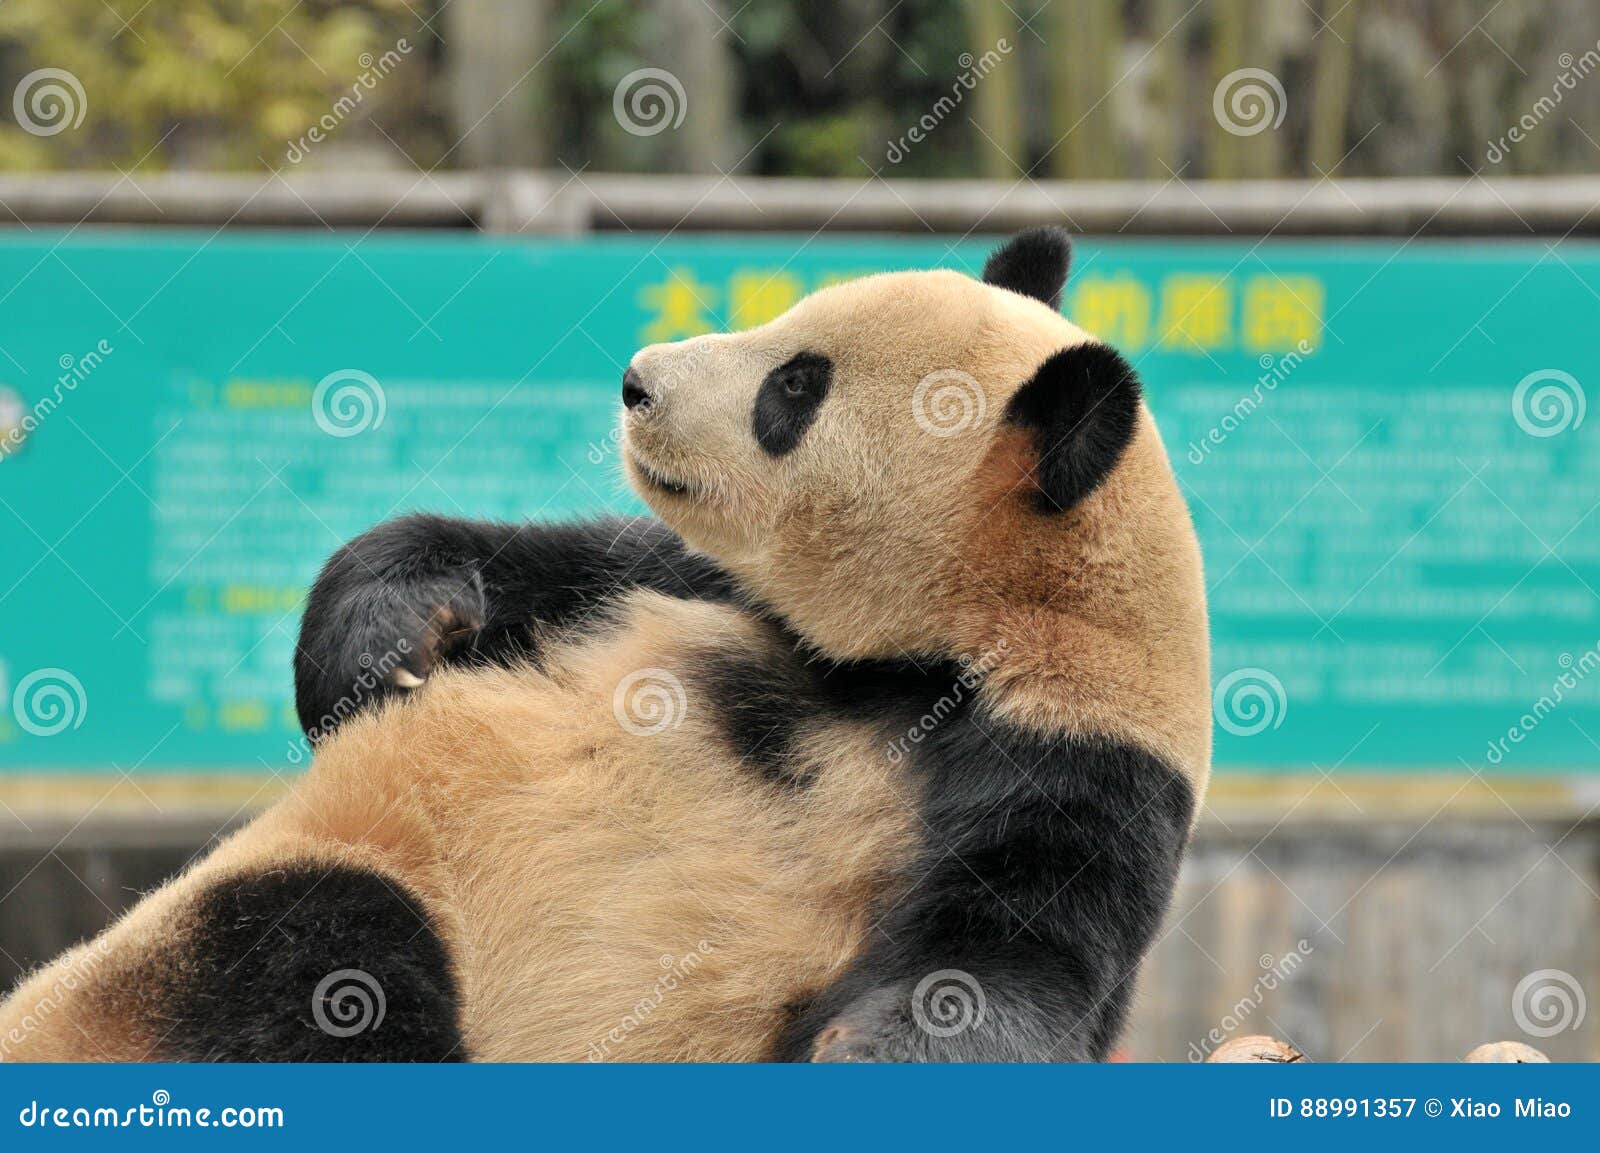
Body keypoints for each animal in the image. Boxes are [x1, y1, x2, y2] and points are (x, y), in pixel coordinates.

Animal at [0, 228, 1209, 1063]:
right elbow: (533, 563)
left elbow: (1000, 959)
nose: (637, 380)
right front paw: (383, 641)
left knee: (329, 965)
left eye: (795, 387)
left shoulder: (1072, 758)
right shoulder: (704, 589)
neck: (921, 654)